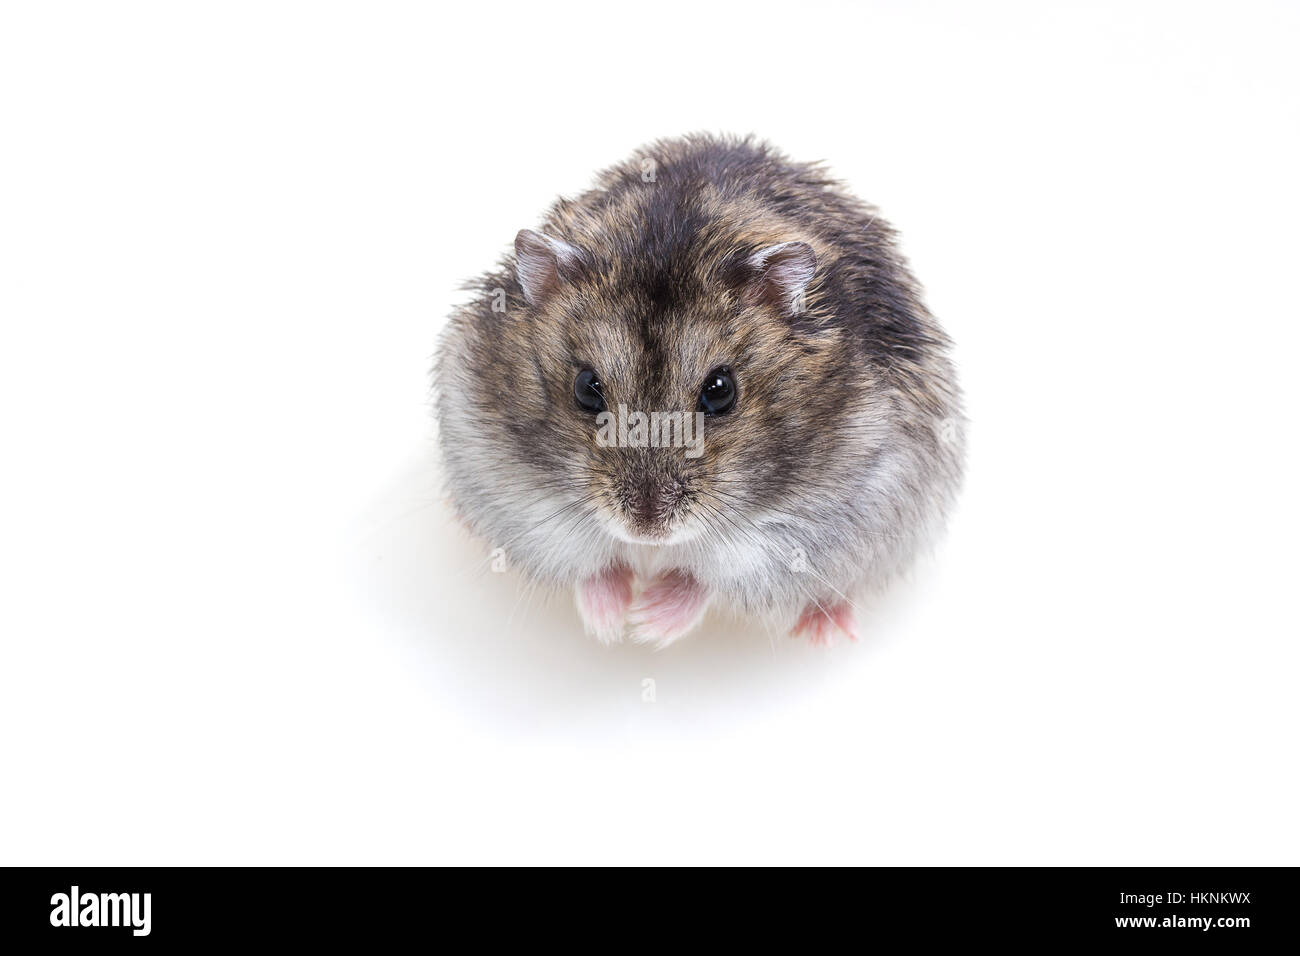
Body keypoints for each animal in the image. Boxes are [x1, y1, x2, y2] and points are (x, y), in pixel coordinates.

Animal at [435, 134, 965, 648]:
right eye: (586, 389)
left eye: (720, 391)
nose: (646, 529)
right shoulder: (505, 479)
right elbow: (590, 566)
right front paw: (613, 623)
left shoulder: (823, 518)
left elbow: (707, 576)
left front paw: (646, 623)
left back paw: (828, 632)